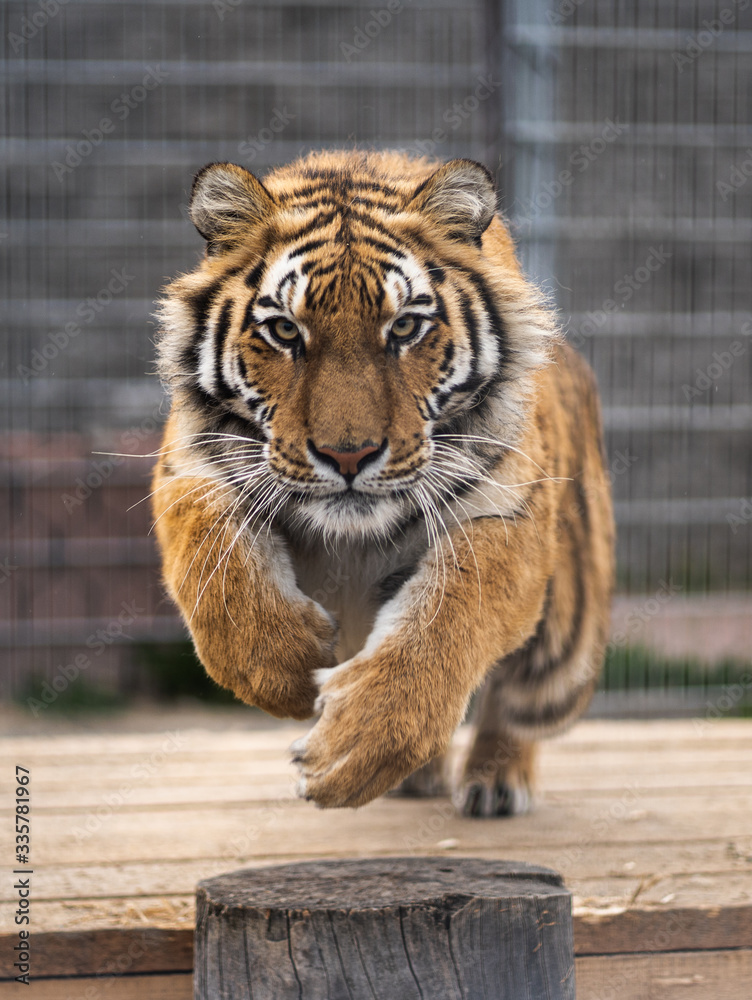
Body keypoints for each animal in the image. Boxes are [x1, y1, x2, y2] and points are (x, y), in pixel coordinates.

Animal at [151, 149, 614, 815]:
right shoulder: (191, 469)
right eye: (285, 332)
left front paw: (354, 750)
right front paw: (292, 668)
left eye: (403, 329)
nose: (350, 456)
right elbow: (219, 581)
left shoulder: (506, 512)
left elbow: (449, 623)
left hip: (563, 658)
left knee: (517, 704)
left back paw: (496, 782)